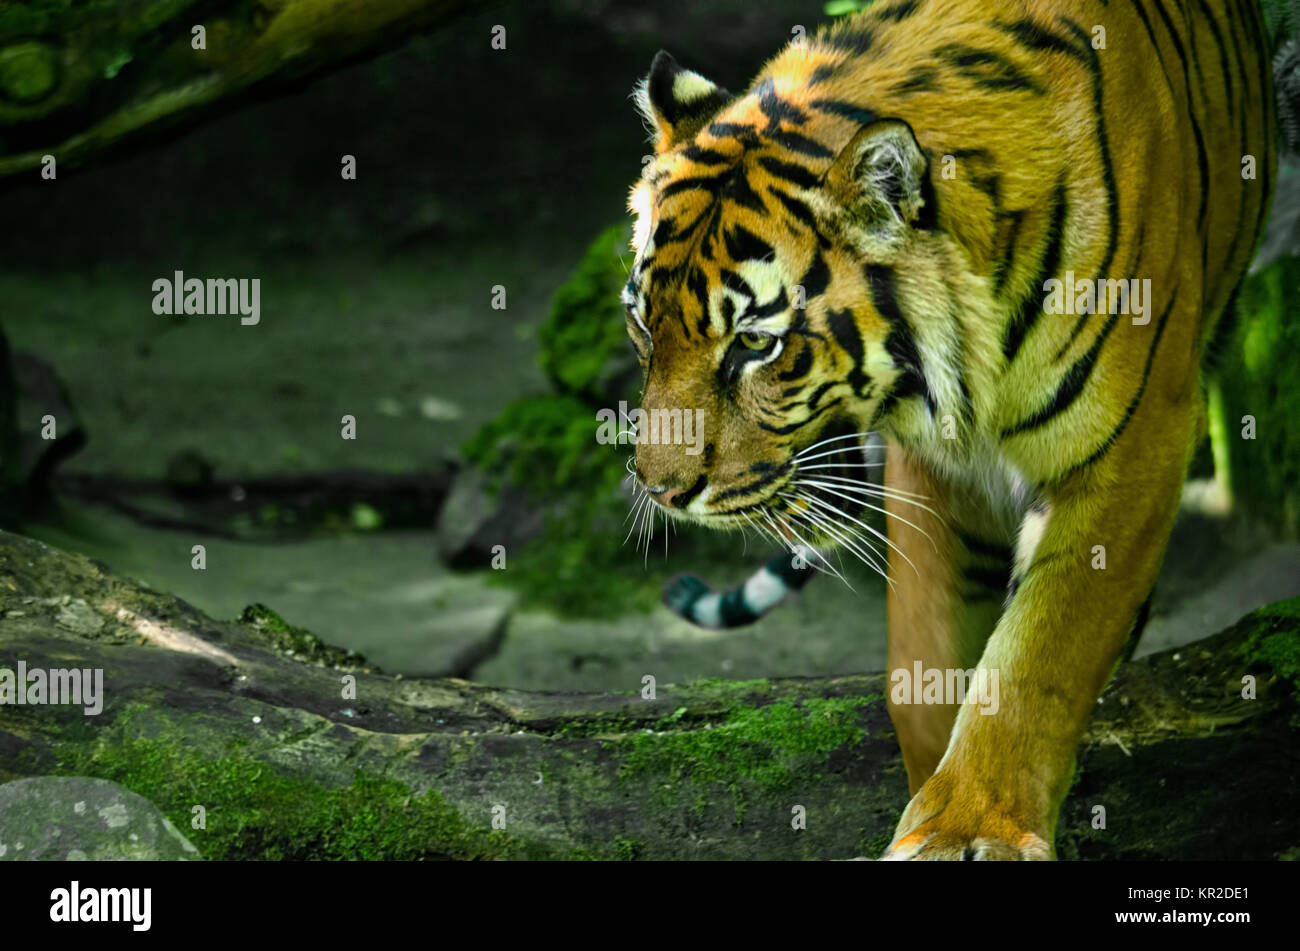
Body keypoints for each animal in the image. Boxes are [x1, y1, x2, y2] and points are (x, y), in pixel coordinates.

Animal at [621, 0, 1278, 859]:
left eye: (756, 345)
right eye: (642, 323)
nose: (660, 489)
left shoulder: (1130, 447)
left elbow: (1042, 652)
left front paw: (973, 823)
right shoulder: (936, 465)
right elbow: (924, 663)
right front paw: (933, 793)